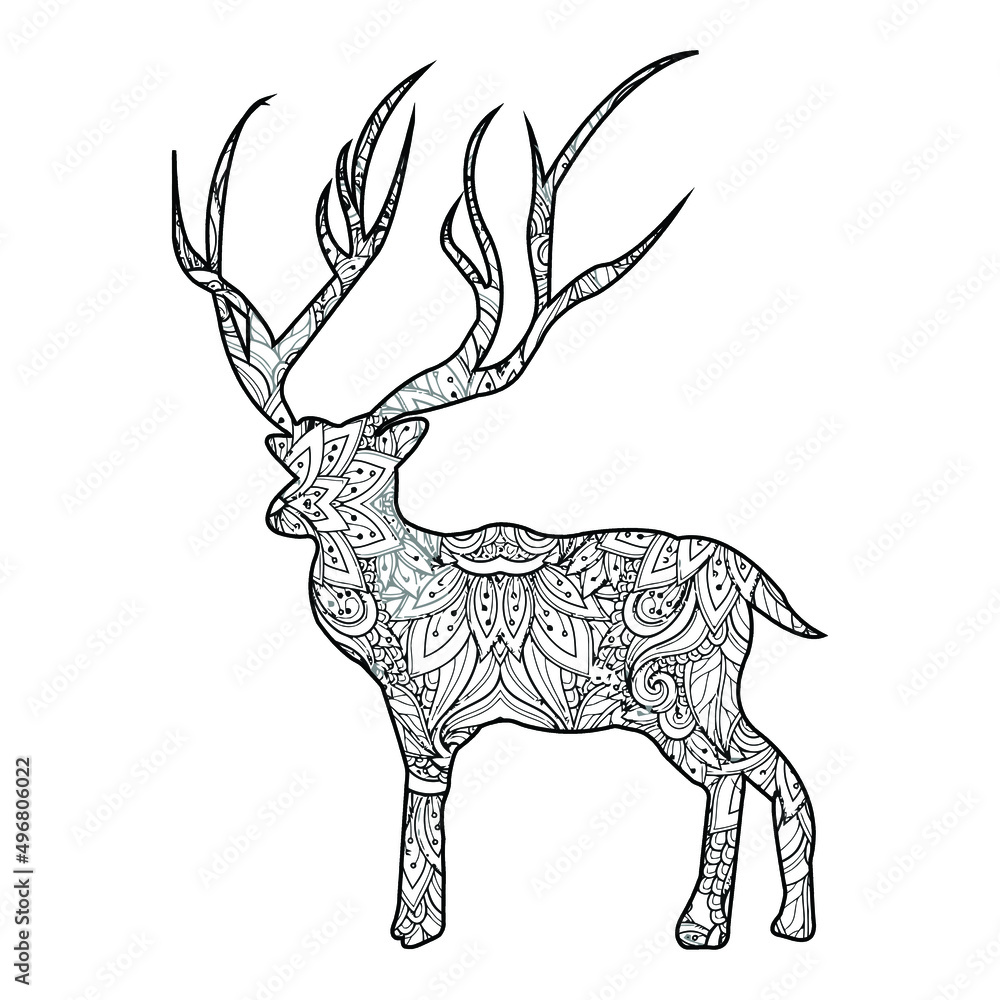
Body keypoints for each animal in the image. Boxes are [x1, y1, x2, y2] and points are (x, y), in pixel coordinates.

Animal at [171, 51, 823, 950]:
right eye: (295, 457)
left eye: (362, 465)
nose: (281, 512)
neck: (397, 608)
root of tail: (753, 579)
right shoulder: (415, 712)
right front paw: (417, 923)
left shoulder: (431, 709)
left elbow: (423, 805)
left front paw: (414, 929)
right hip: (700, 696)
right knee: (748, 773)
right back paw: (729, 924)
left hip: (682, 684)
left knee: (759, 771)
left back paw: (762, 926)